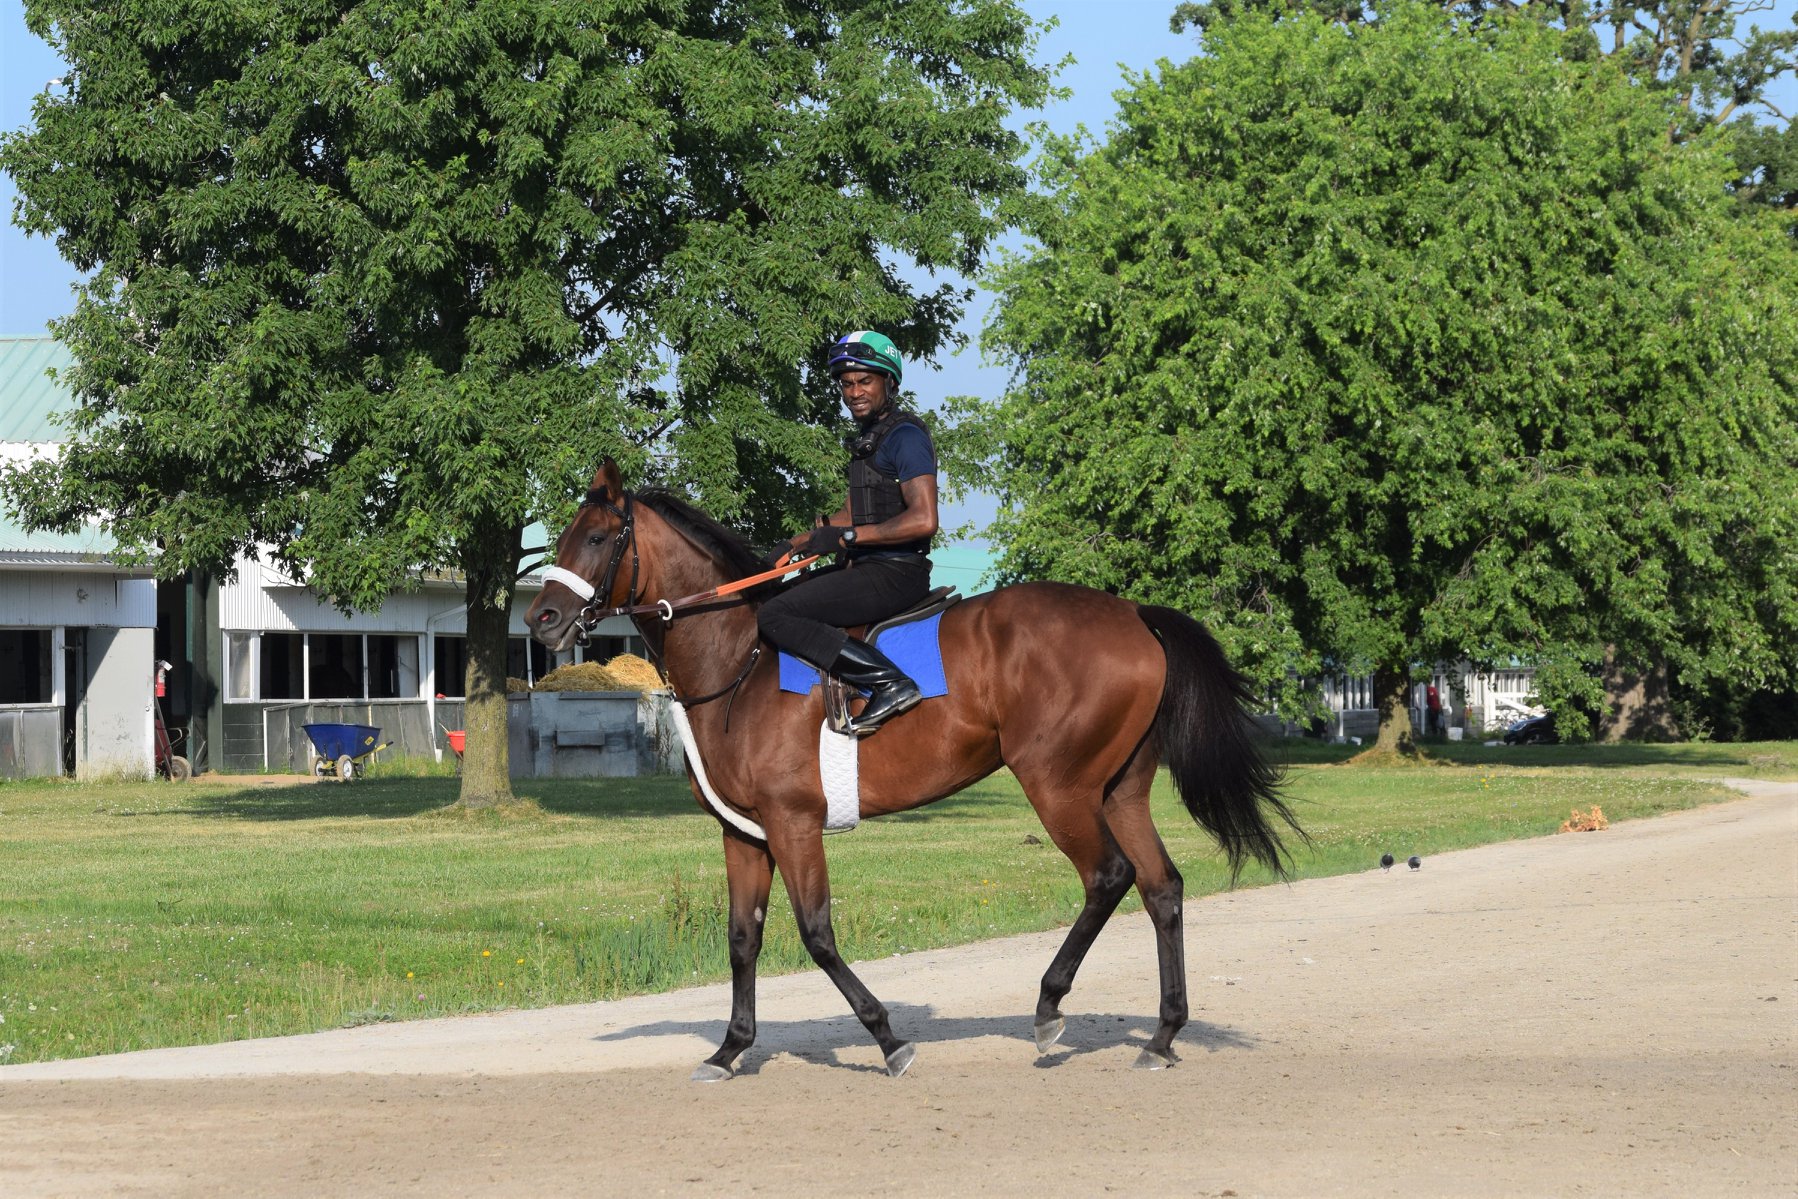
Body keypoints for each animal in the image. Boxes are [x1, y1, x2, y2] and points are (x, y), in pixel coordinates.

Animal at [526, 459, 1301, 1080]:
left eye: (596, 538)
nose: (541, 618)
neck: (738, 659)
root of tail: (1133, 613)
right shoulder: (743, 831)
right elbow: (743, 939)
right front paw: (730, 1048)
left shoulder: (793, 823)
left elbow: (816, 933)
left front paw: (887, 1037)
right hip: (1118, 790)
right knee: (1162, 887)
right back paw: (1163, 1034)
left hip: (1058, 784)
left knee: (1109, 876)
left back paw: (1049, 1005)